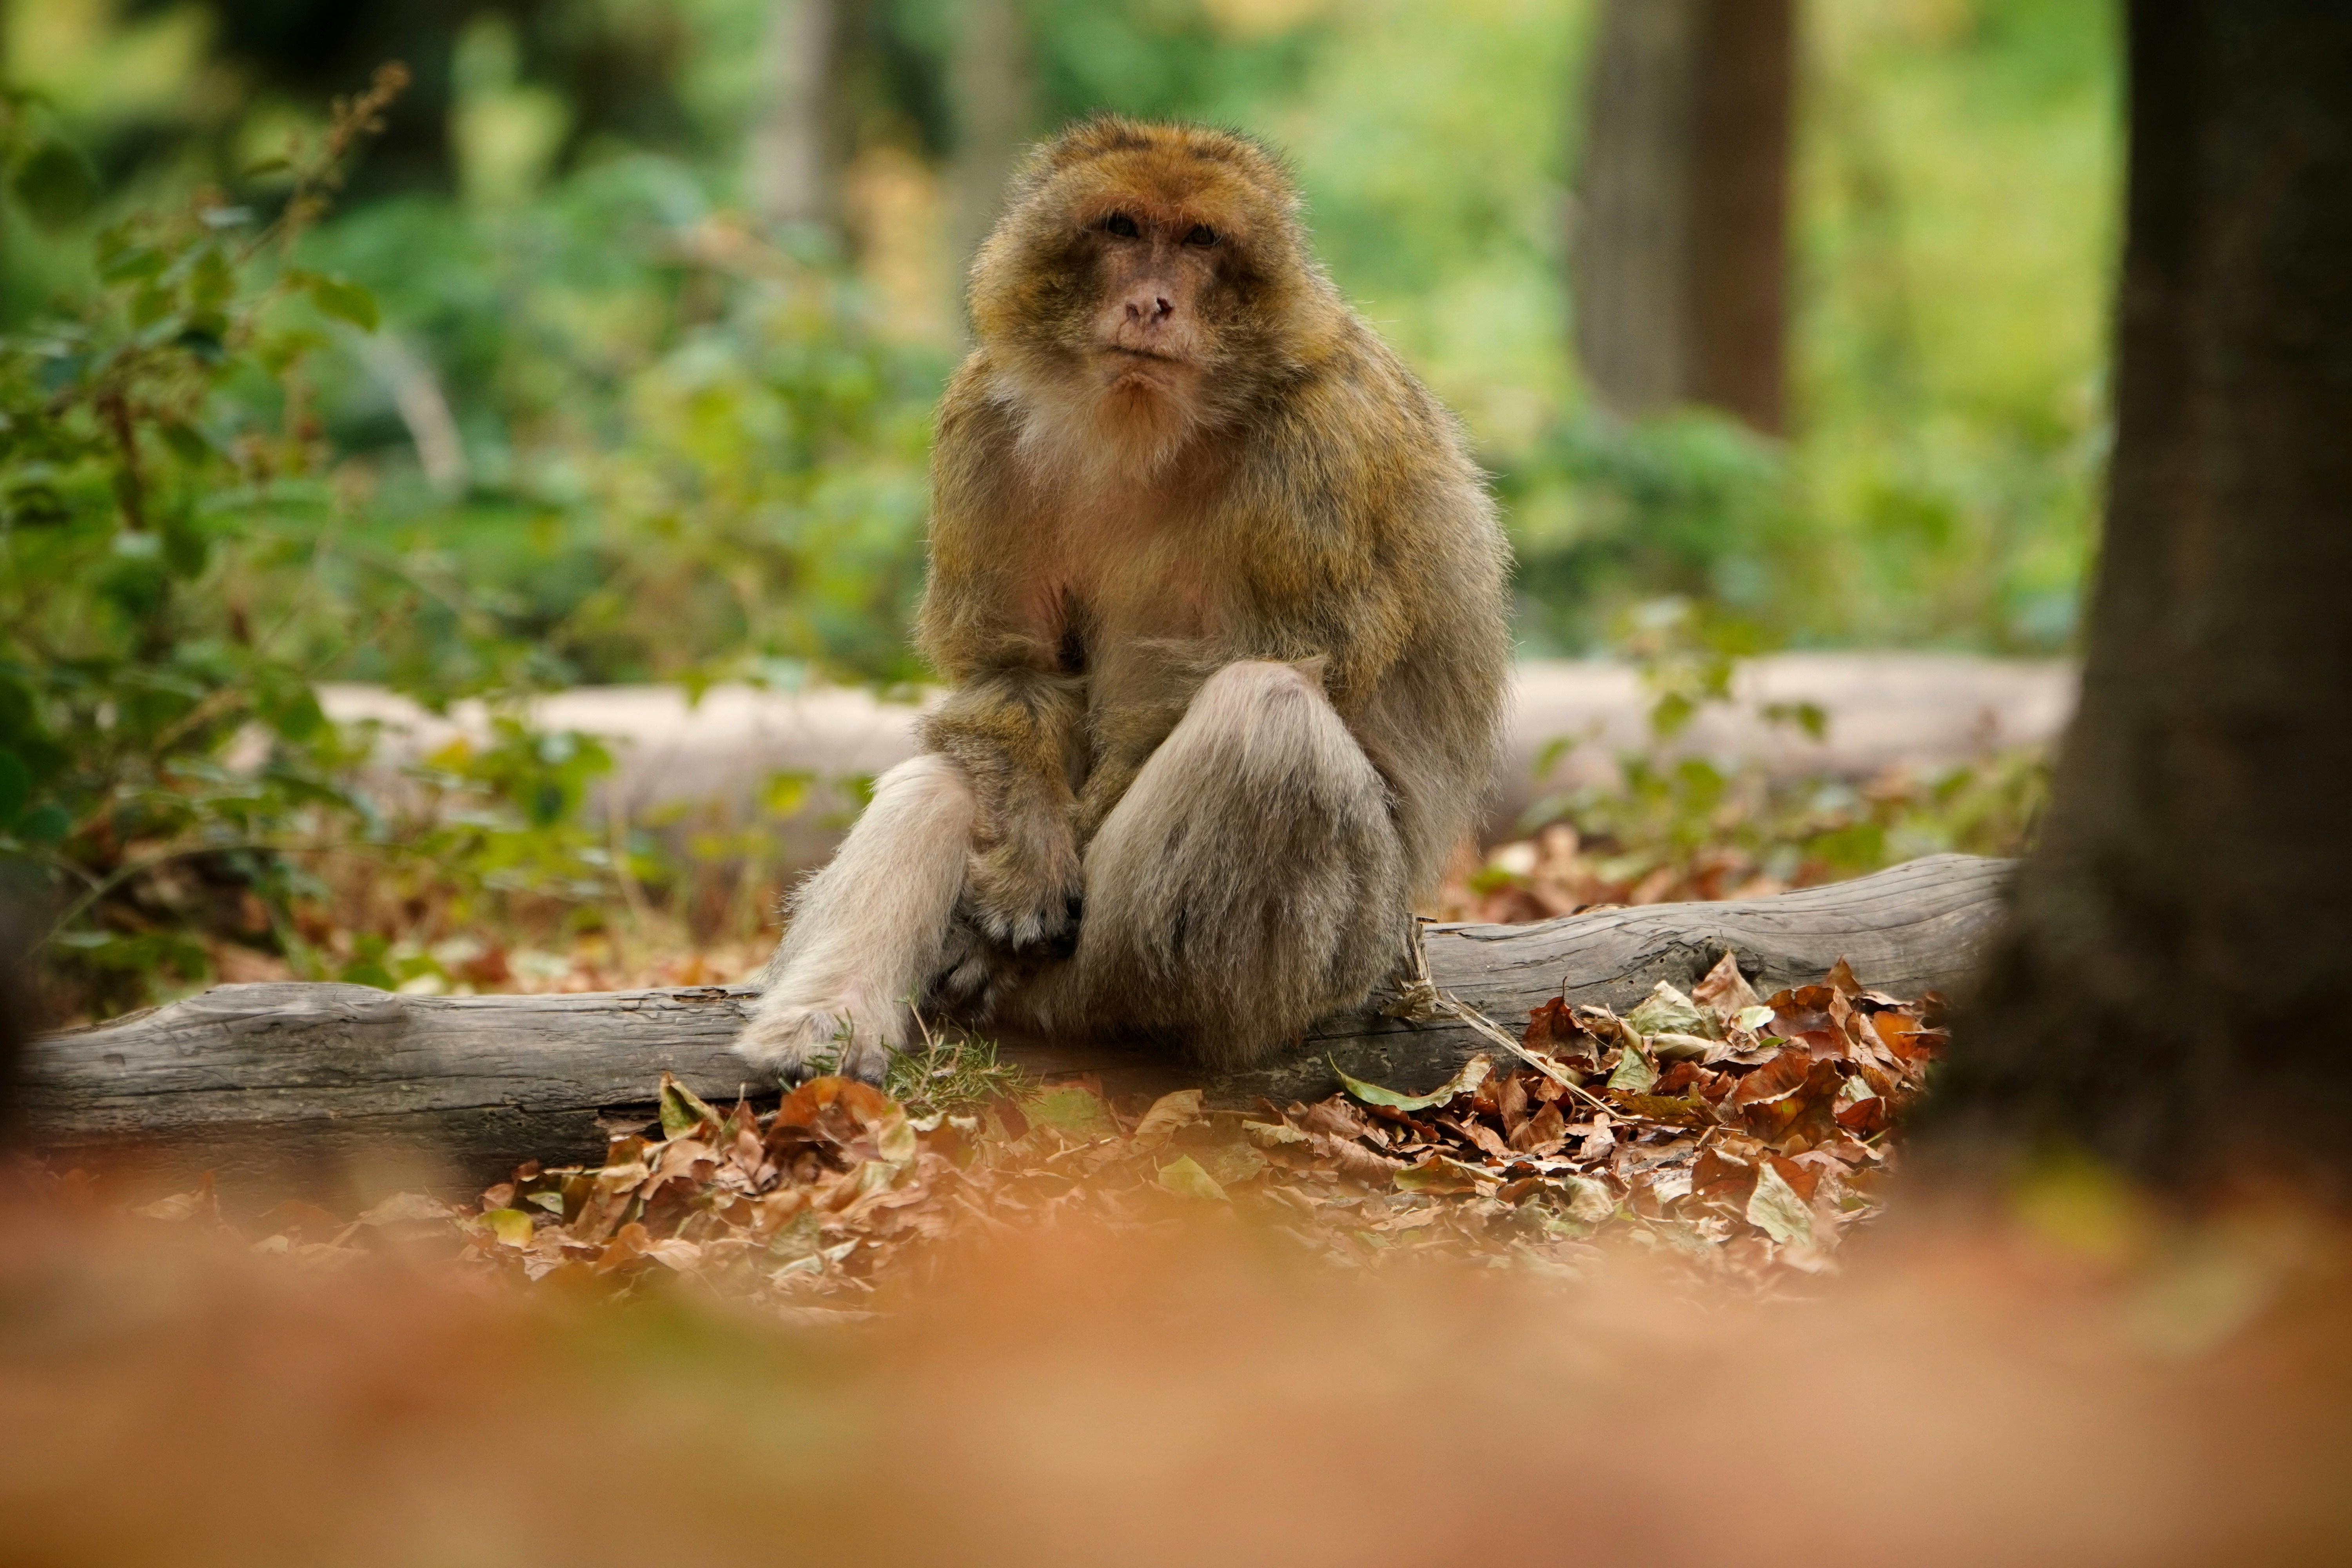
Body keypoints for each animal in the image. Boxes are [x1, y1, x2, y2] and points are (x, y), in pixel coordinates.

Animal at [734, 116, 1511, 1083]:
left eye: (1201, 241)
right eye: (1123, 228)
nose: (1153, 305)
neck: (1149, 426)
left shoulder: (1321, 443)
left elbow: (1279, 665)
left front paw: (991, 943)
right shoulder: (982, 419)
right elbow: (1016, 668)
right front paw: (1026, 867)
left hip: (1337, 948)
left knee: (1267, 718)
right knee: (946, 773)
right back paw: (819, 1034)